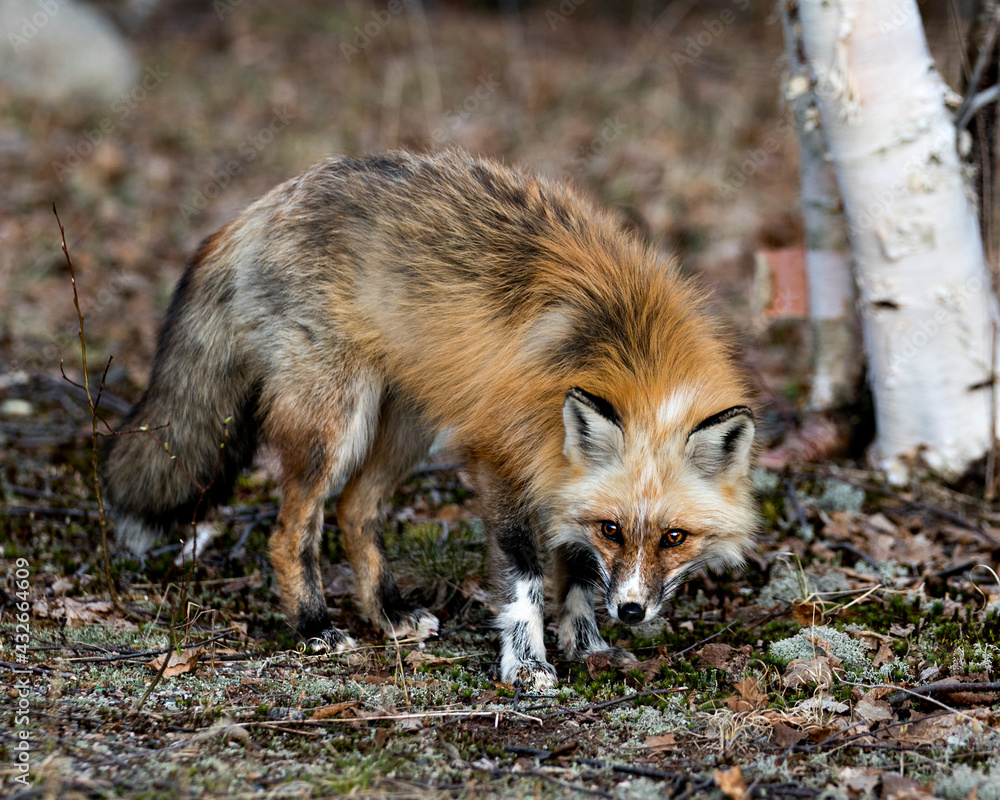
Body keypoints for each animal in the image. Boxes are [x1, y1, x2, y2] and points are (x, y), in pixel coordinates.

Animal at [103, 150, 757, 689]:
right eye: (615, 530)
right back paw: (313, 626)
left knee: (355, 510)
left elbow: (573, 568)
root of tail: (262, 204)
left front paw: (587, 645)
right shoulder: (504, 458)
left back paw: (388, 614)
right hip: (336, 426)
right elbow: (523, 577)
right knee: (292, 532)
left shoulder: (563, 475)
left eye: (674, 536)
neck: (621, 347)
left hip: (406, 428)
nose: (630, 611)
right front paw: (527, 662)